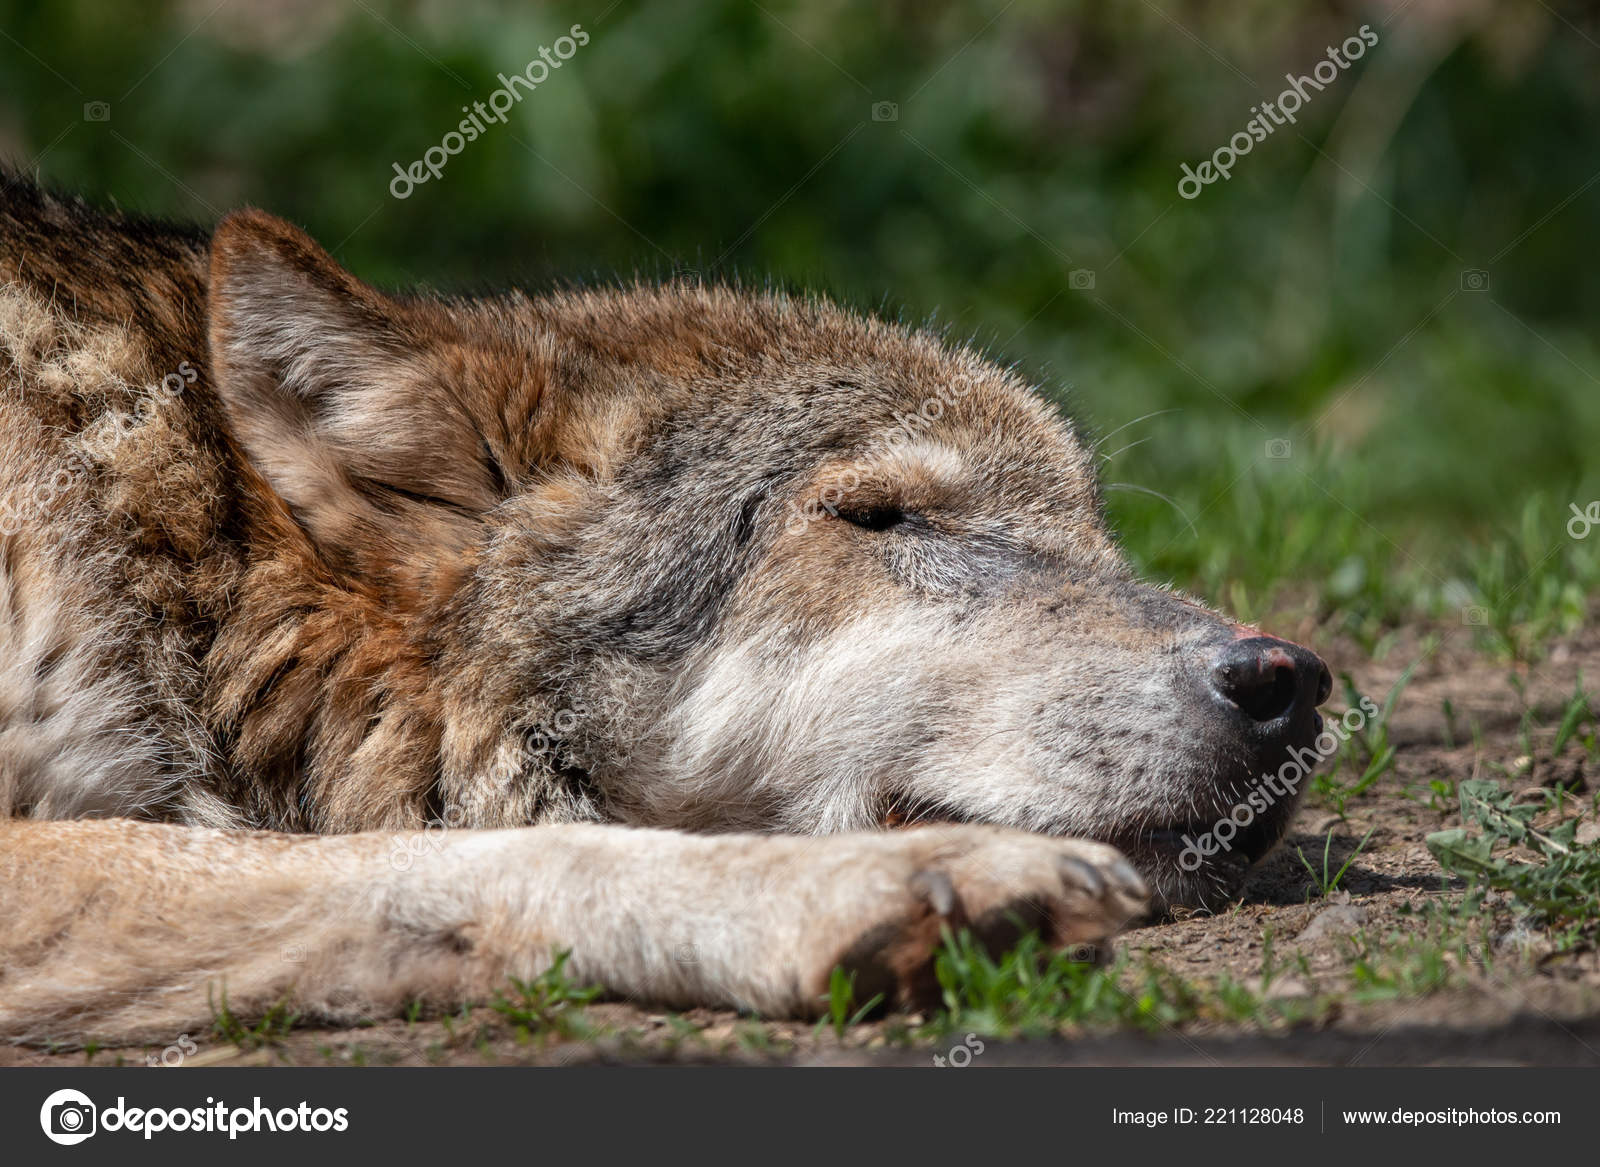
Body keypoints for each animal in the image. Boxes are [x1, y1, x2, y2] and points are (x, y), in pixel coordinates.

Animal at [0, 174, 1330, 1045]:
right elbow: (479, 850)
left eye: (1097, 533)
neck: (180, 577)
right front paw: (884, 892)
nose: (1291, 682)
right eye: (882, 517)